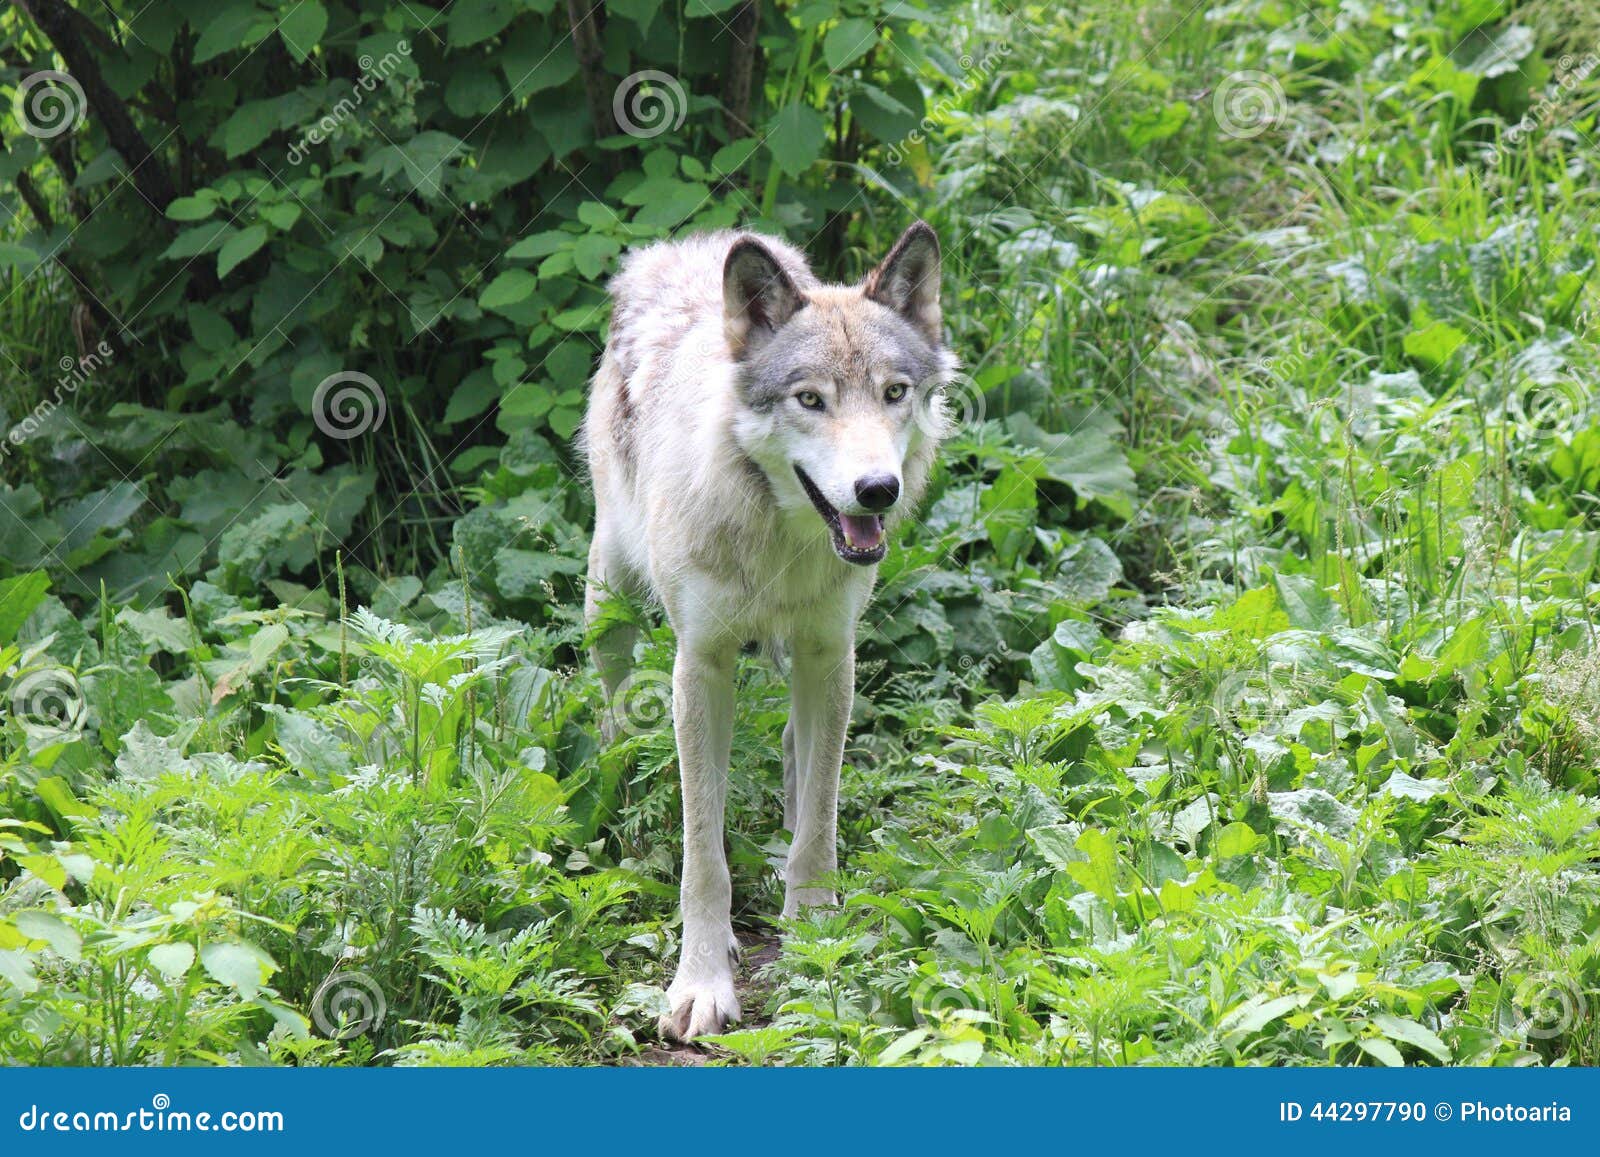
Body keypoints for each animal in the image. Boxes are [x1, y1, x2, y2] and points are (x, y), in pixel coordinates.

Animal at [580, 222, 954, 1041]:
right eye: (809, 399)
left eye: (894, 392)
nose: (877, 490)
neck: (780, 537)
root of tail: (691, 244)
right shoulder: (700, 667)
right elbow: (704, 855)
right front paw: (701, 982)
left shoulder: (830, 652)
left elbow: (819, 822)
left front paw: (814, 932)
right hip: (608, 599)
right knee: (618, 720)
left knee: (792, 749)